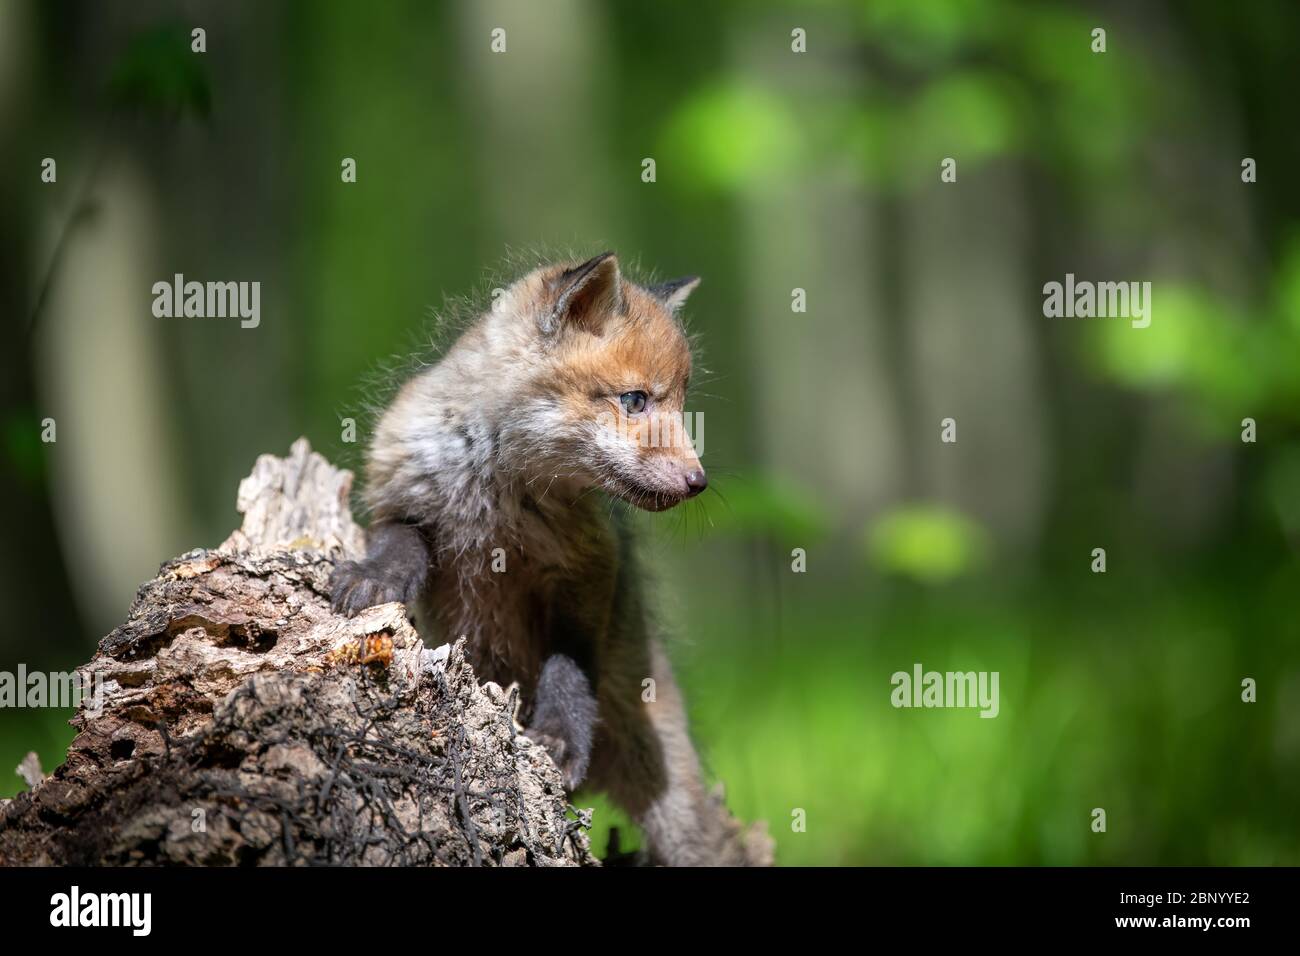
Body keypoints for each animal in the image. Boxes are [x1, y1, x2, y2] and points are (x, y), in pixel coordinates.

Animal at [330, 252, 773, 866]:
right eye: (635, 400)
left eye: (683, 405)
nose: (699, 482)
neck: (495, 486)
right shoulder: (400, 499)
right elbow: (400, 546)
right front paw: (372, 579)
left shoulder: (587, 571)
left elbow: (569, 666)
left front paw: (562, 735)